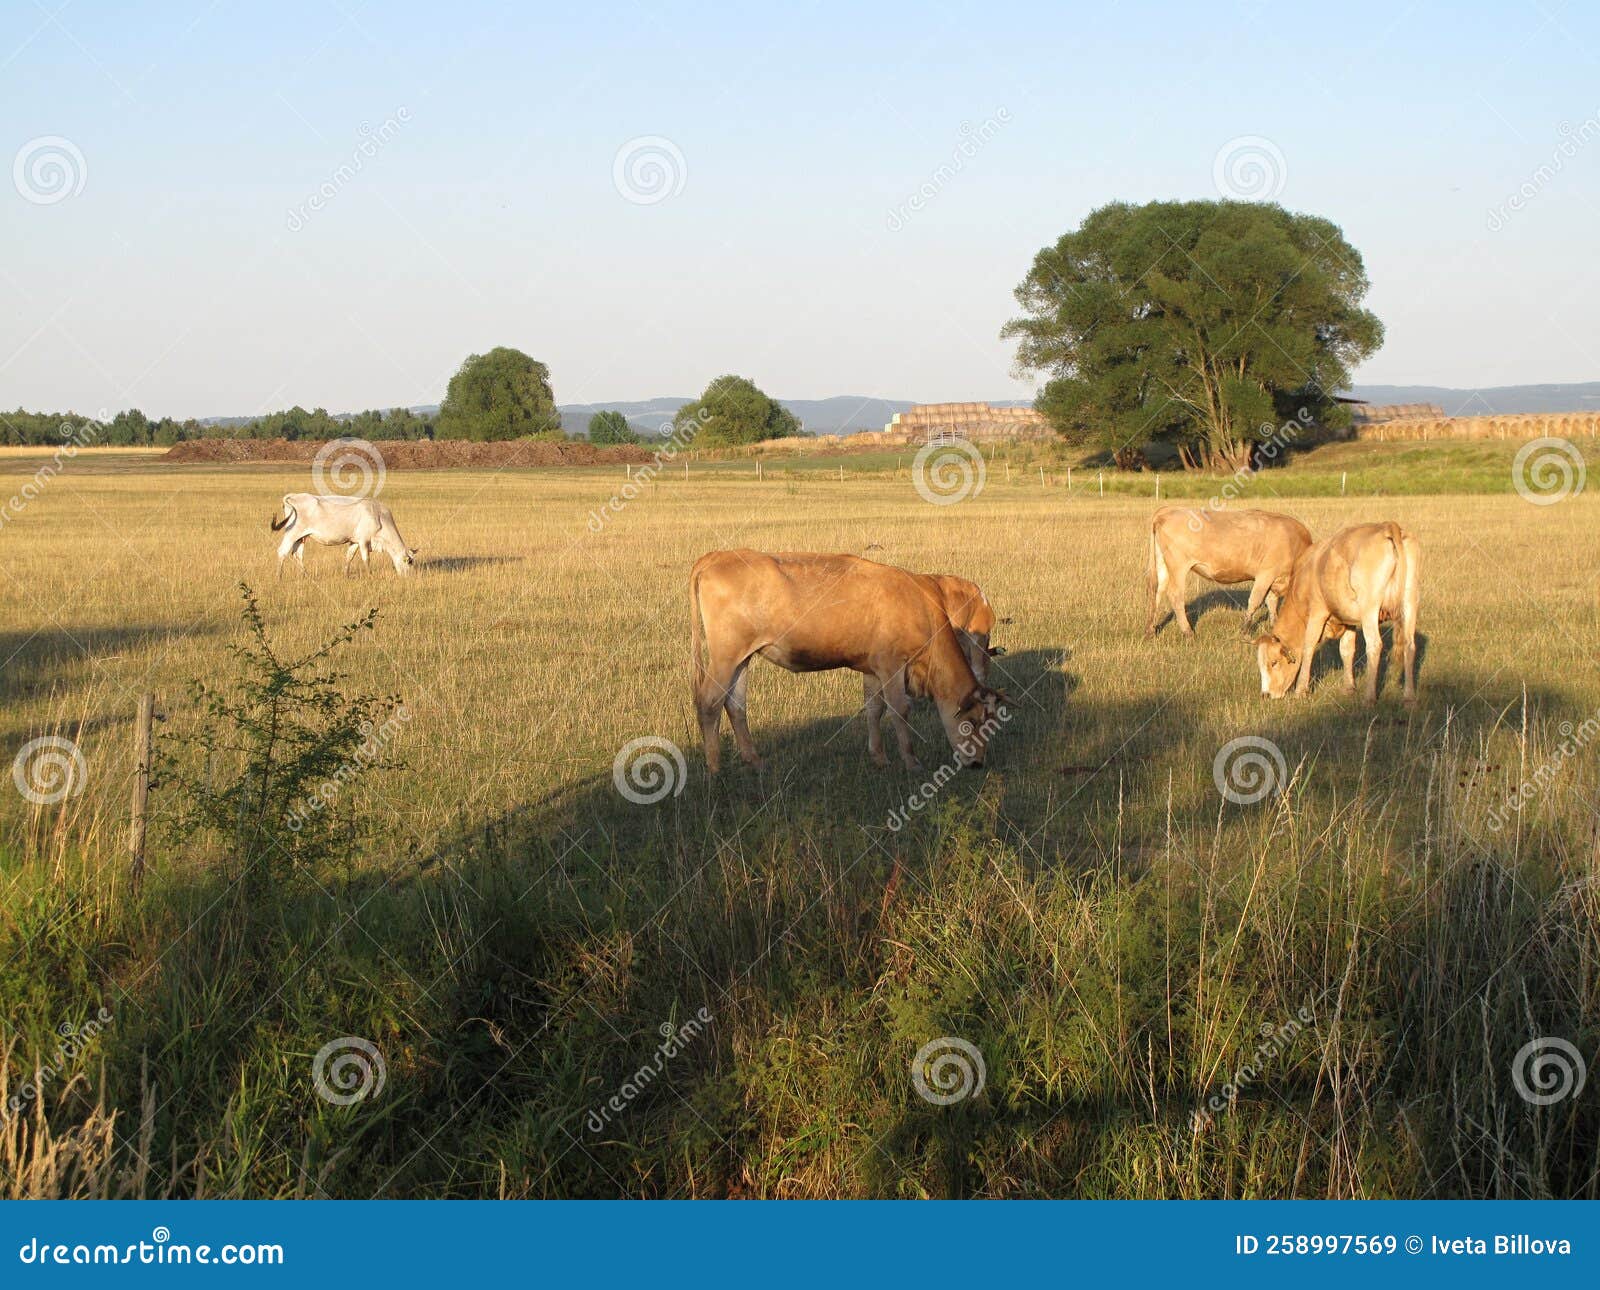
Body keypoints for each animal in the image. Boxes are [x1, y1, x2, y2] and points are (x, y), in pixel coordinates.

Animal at [270, 493, 418, 578]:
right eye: (410, 562)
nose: (409, 578)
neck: (379, 516)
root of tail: (293, 496)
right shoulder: (364, 540)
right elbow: (366, 559)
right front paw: (370, 575)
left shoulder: (354, 541)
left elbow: (349, 557)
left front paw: (346, 575)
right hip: (292, 533)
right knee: (282, 552)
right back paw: (279, 577)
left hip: (301, 537)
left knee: (297, 554)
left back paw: (306, 576)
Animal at [689, 550, 1007, 774]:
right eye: (972, 722)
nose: (978, 763)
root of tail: (716, 556)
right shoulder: (892, 665)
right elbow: (900, 709)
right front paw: (911, 762)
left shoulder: (872, 669)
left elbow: (874, 709)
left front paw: (879, 757)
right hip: (725, 657)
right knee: (709, 702)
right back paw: (715, 769)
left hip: (741, 659)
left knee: (735, 704)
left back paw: (755, 761)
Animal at [1147, 506, 1313, 637]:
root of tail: (1168, 510)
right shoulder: (1266, 574)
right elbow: (1255, 601)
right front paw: (1244, 631)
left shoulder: (1274, 580)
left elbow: (1271, 602)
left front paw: (1274, 627)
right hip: (1178, 567)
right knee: (1175, 595)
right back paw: (1188, 632)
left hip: (1163, 565)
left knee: (1157, 592)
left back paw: (1150, 631)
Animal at [1254, 521, 1420, 705]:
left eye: (1273, 663)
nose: (1265, 694)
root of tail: (1387, 527)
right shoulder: (1347, 620)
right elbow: (1346, 649)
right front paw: (1349, 688)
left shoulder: (1317, 612)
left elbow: (1308, 646)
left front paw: (1301, 690)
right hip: (1410, 602)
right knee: (1409, 646)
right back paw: (1409, 698)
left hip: (1369, 608)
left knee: (1374, 645)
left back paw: (1369, 698)